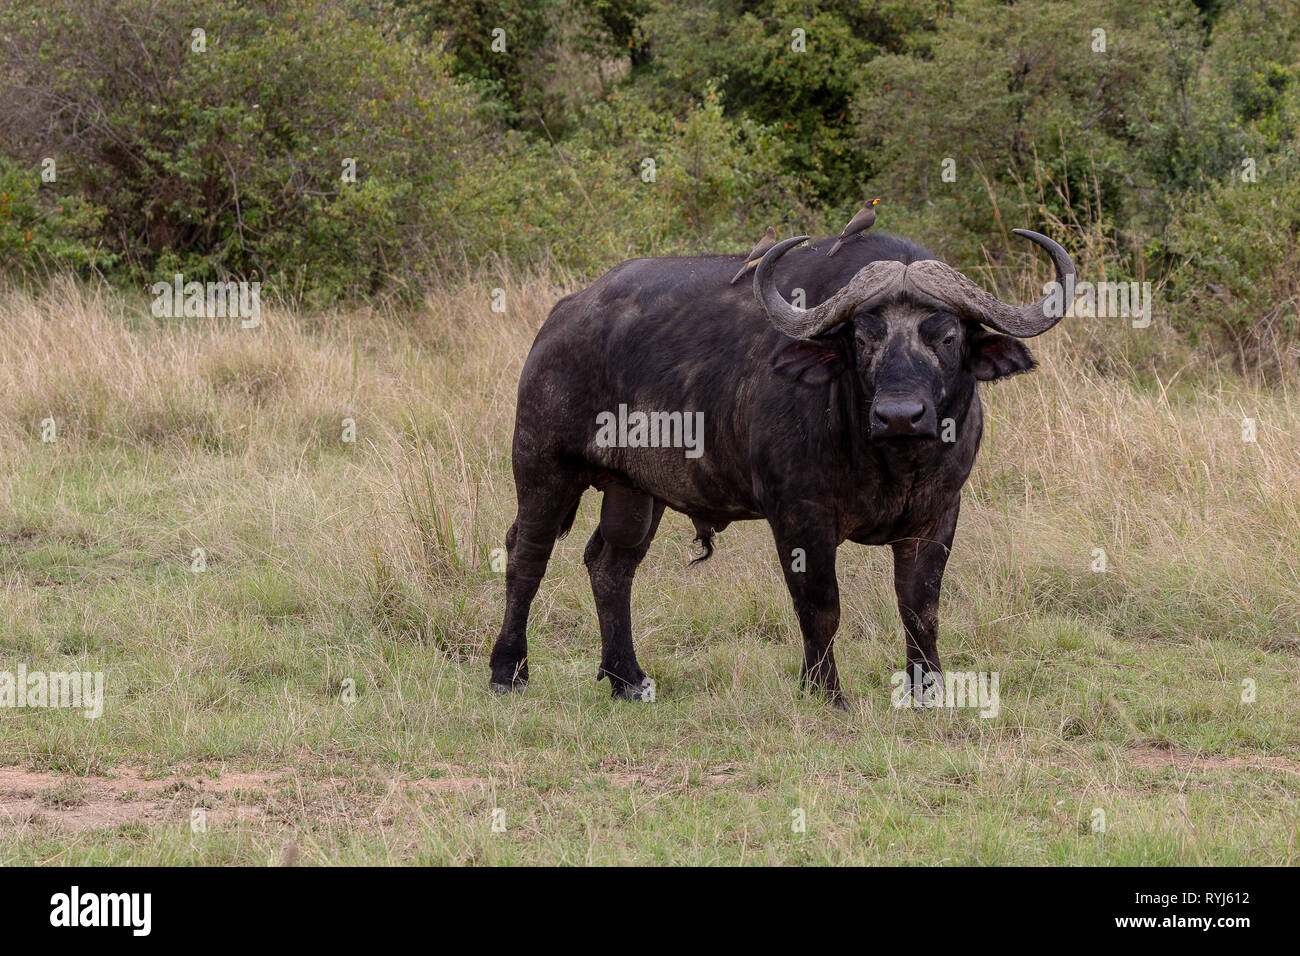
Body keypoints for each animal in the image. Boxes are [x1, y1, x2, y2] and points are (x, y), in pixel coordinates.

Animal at [489, 228, 1076, 708]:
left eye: (948, 337)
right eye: (864, 337)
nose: (900, 415)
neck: (891, 461)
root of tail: (561, 319)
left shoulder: (939, 515)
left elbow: (920, 607)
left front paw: (926, 690)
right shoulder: (799, 517)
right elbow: (820, 606)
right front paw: (824, 692)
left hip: (635, 492)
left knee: (611, 566)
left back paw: (628, 679)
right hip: (543, 467)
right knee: (526, 556)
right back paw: (508, 672)